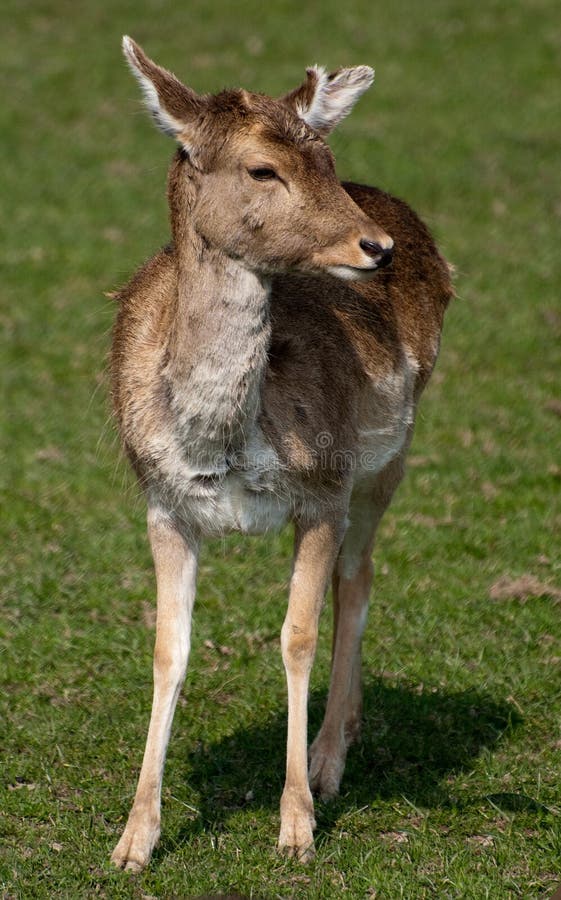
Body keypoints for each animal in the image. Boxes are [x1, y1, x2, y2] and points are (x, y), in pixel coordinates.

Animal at [109, 36, 453, 872]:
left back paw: (331, 758)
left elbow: (296, 636)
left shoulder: (323, 489)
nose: (375, 245)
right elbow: (167, 648)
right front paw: (134, 838)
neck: (225, 444)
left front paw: (295, 825)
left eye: (325, 158)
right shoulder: (162, 503)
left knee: (358, 576)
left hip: (389, 457)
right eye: (263, 169)